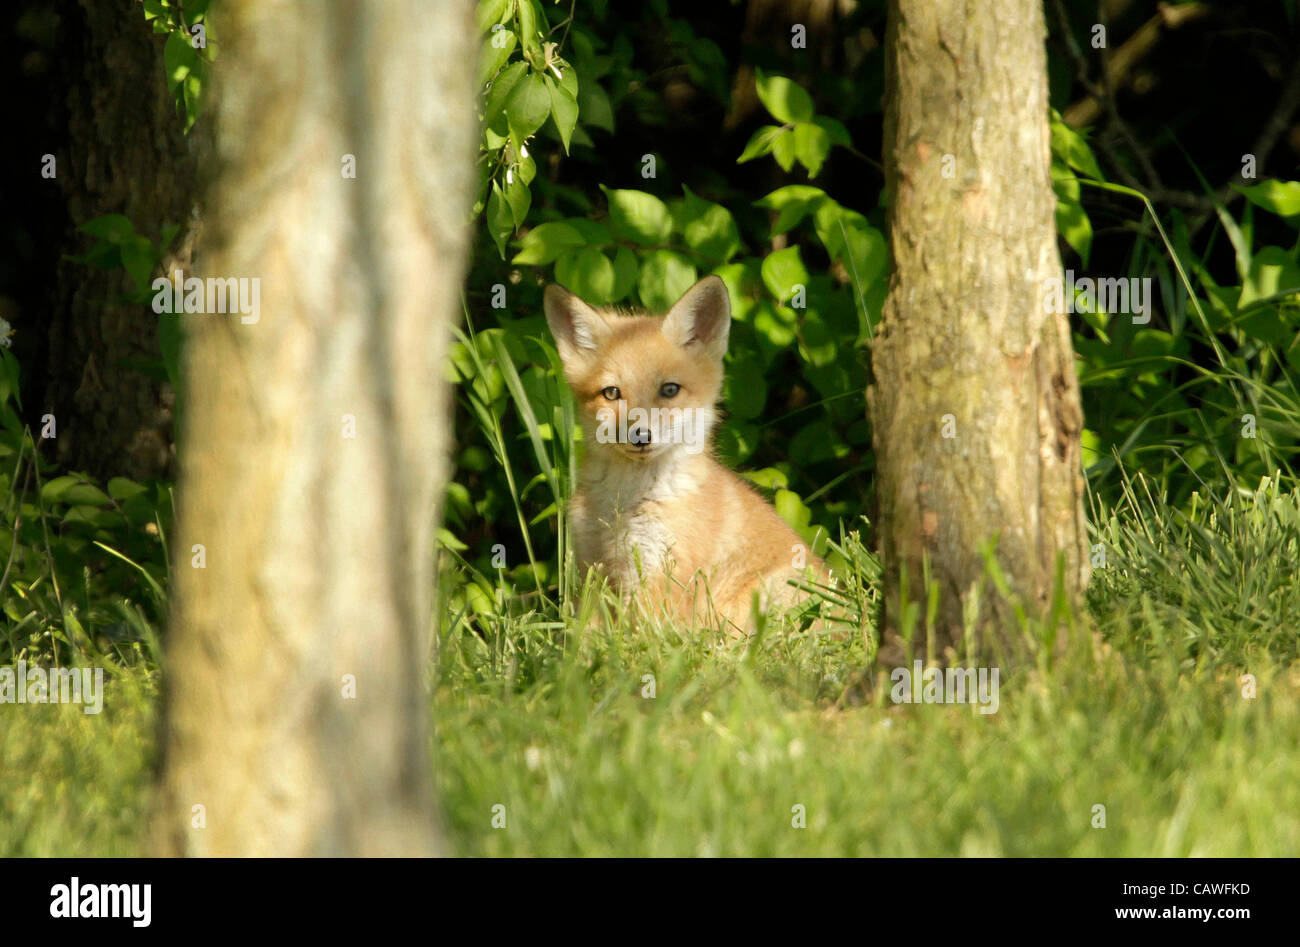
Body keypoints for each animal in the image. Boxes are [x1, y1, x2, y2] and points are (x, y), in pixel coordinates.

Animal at [544, 274, 829, 634]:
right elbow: (584, 640)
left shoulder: (663, 575)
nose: (640, 435)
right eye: (611, 393)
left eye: (669, 390)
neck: (625, 506)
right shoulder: (593, 572)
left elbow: (644, 641)